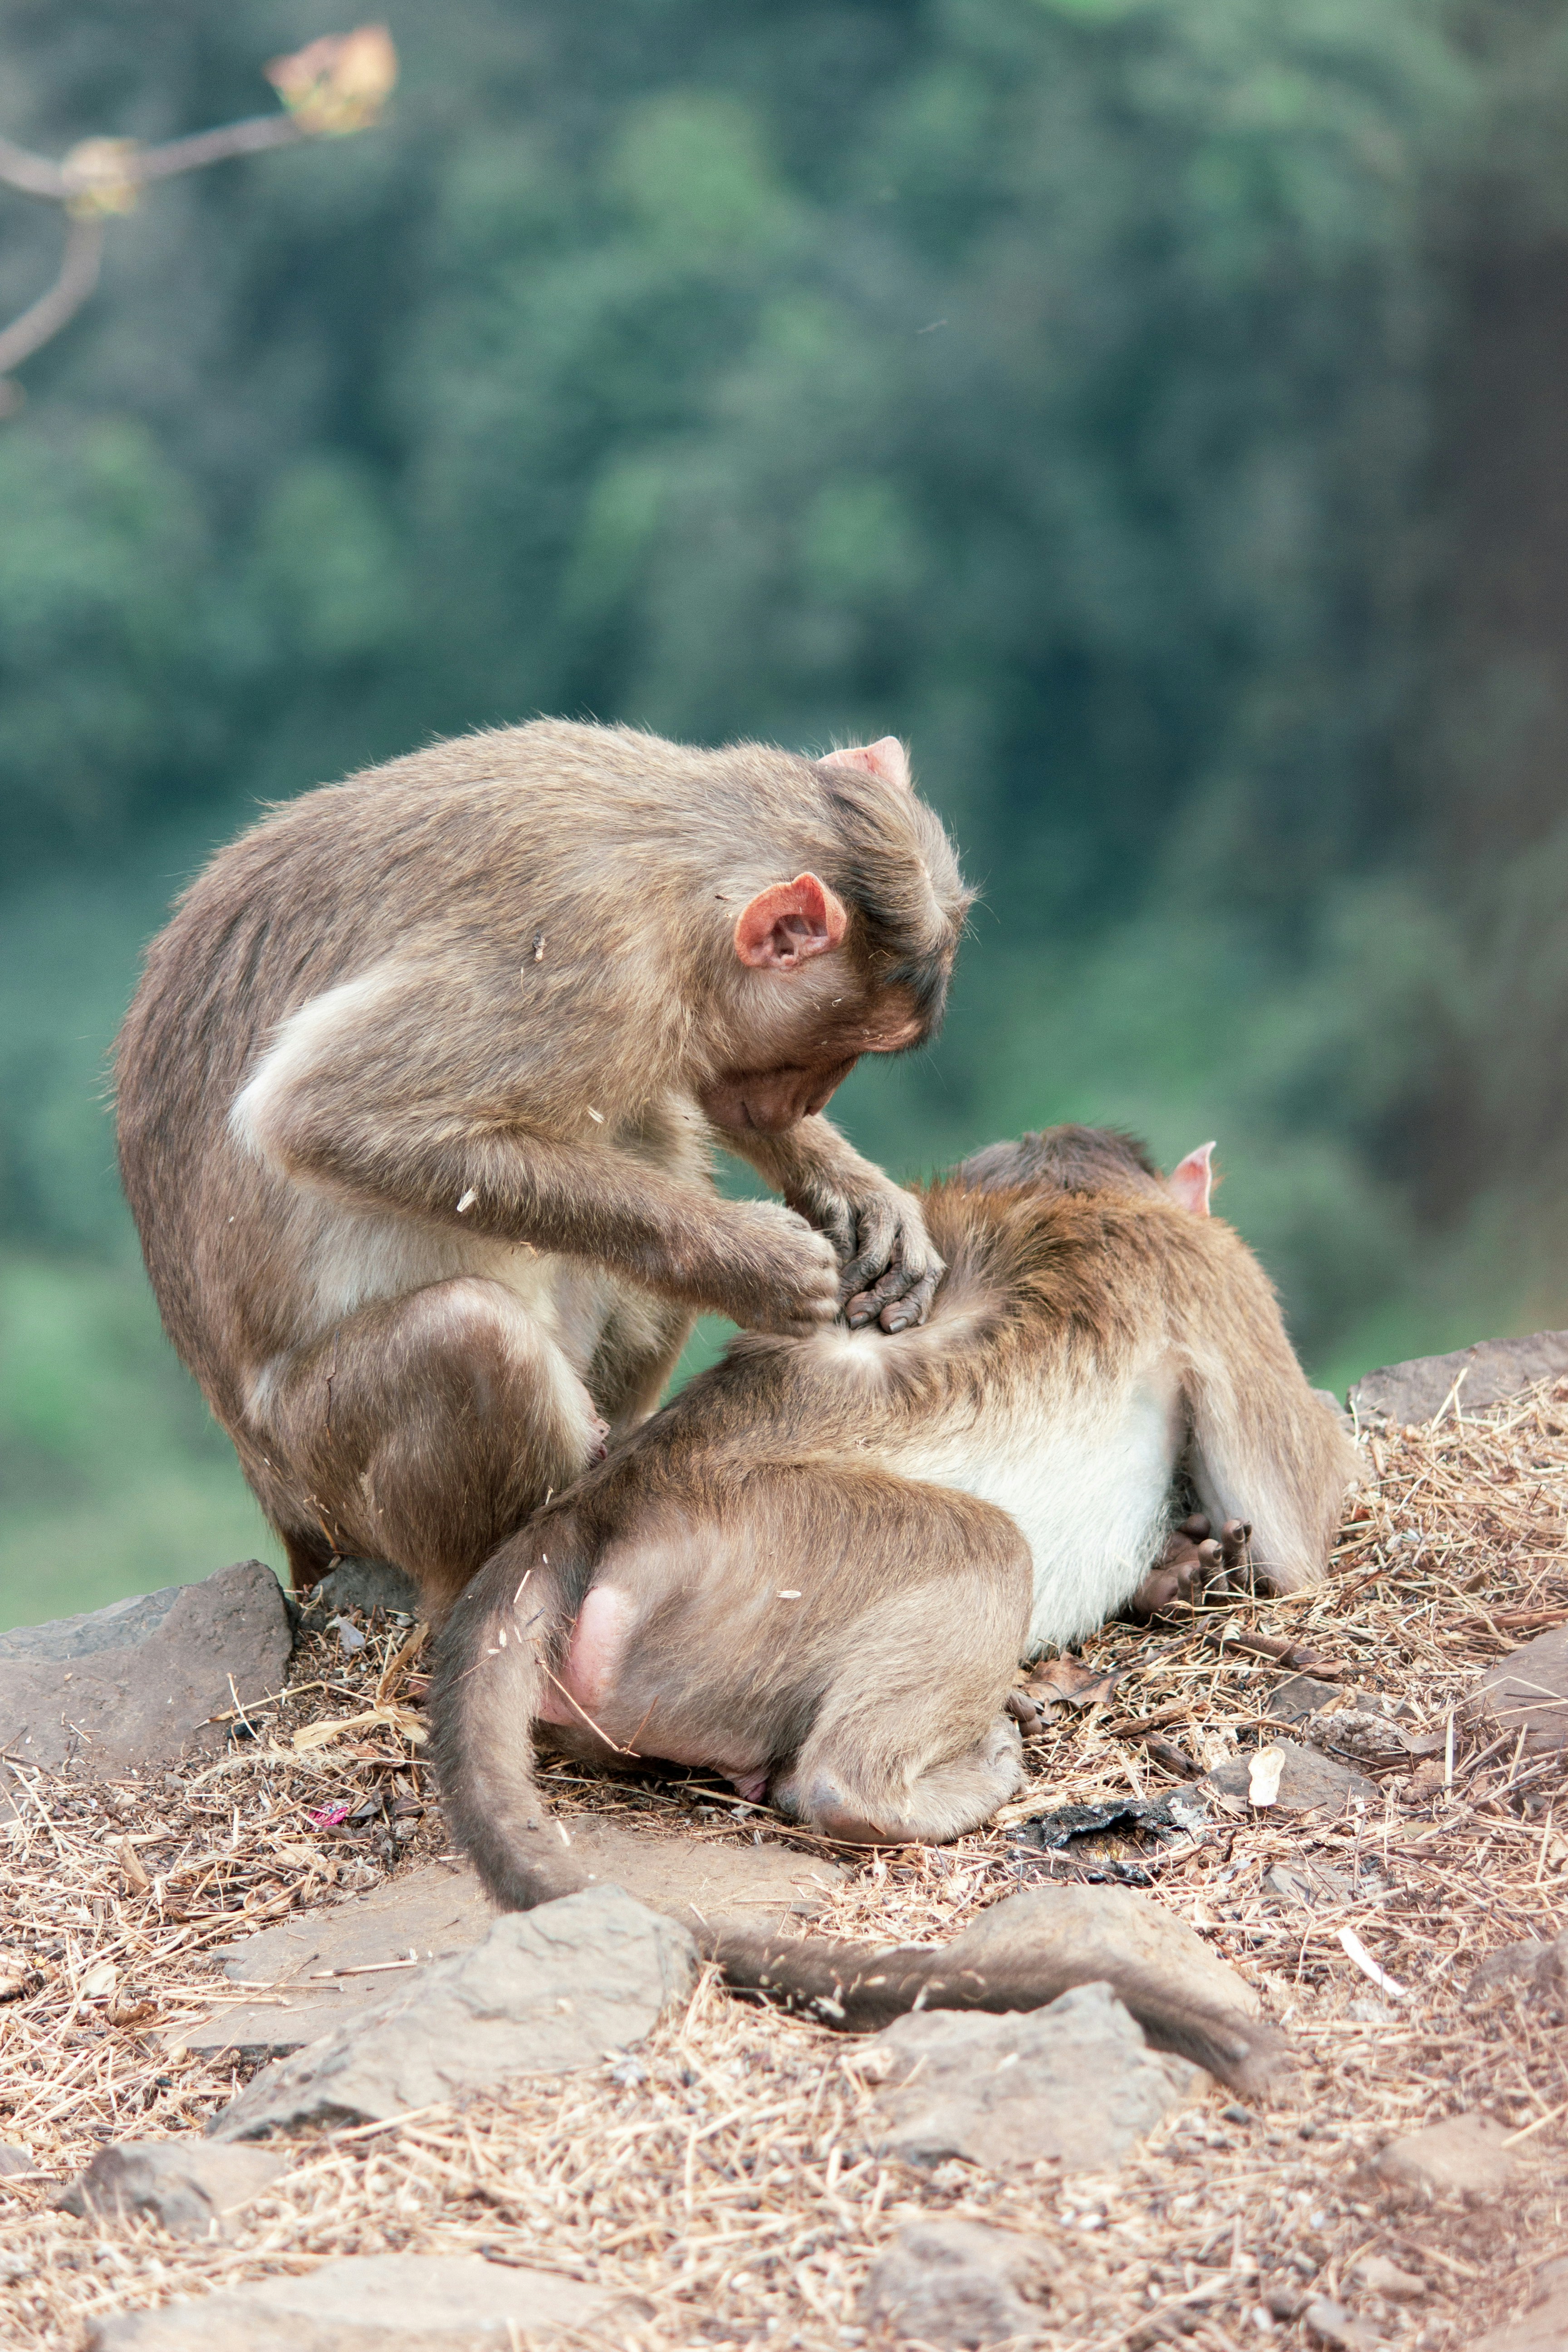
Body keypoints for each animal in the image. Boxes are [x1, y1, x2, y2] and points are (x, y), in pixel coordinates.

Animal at [114, 720, 969, 1612]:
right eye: (837, 1048)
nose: (799, 1105)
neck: (687, 863)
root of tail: (282, 1510)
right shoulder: (585, 961)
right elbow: (323, 1113)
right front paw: (754, 1260)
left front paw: (861, 1198)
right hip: (323, 1470)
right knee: (468, 1335)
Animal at [426, 1124, 1352, 2094]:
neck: (1067, 1194)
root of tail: (587, 1512)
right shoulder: (1214, 1270)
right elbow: (1294, 1546)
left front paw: (1174, 1570)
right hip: (771, 1559)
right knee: (983, 1552)